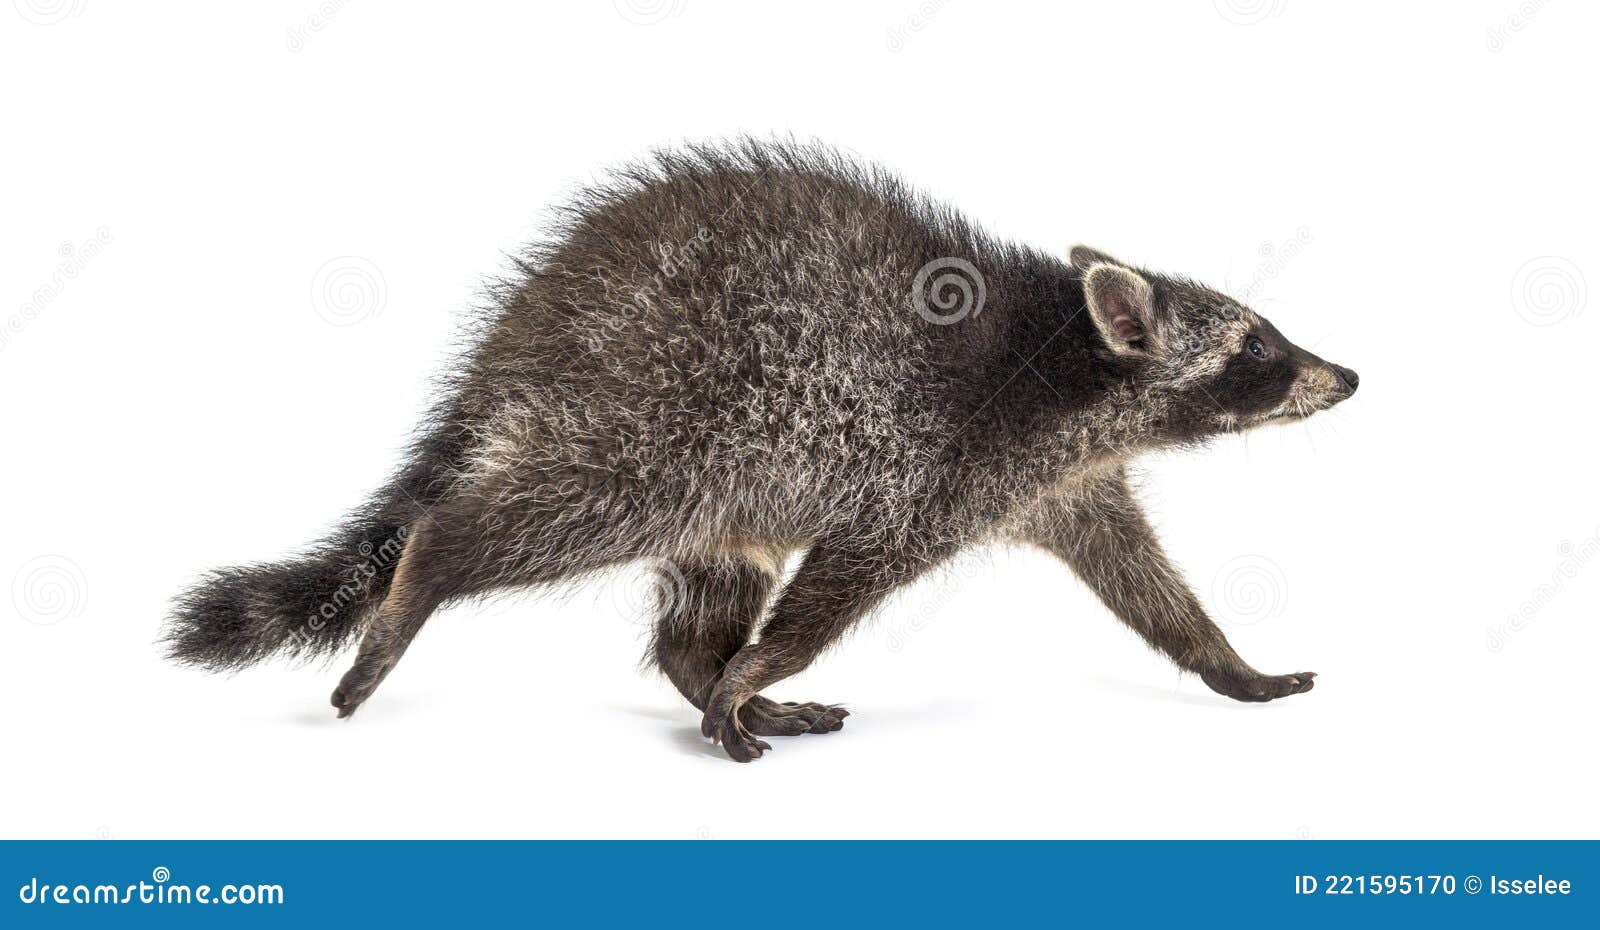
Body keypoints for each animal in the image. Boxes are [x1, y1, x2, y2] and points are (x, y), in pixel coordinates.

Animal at [167, 140, 1358, 762]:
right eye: (1256, 345)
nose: (1345, 377)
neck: (1067, 357)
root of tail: (521, 335)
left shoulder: (1059, 481)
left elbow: (1142, 581)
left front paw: (1224, 661)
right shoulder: (933, 466)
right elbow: (841, 578)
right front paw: (758, 667)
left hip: (716, 476)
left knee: (704, 592)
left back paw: (705, 675)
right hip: (655, 422)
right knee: (544, 514)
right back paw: (436, 566)